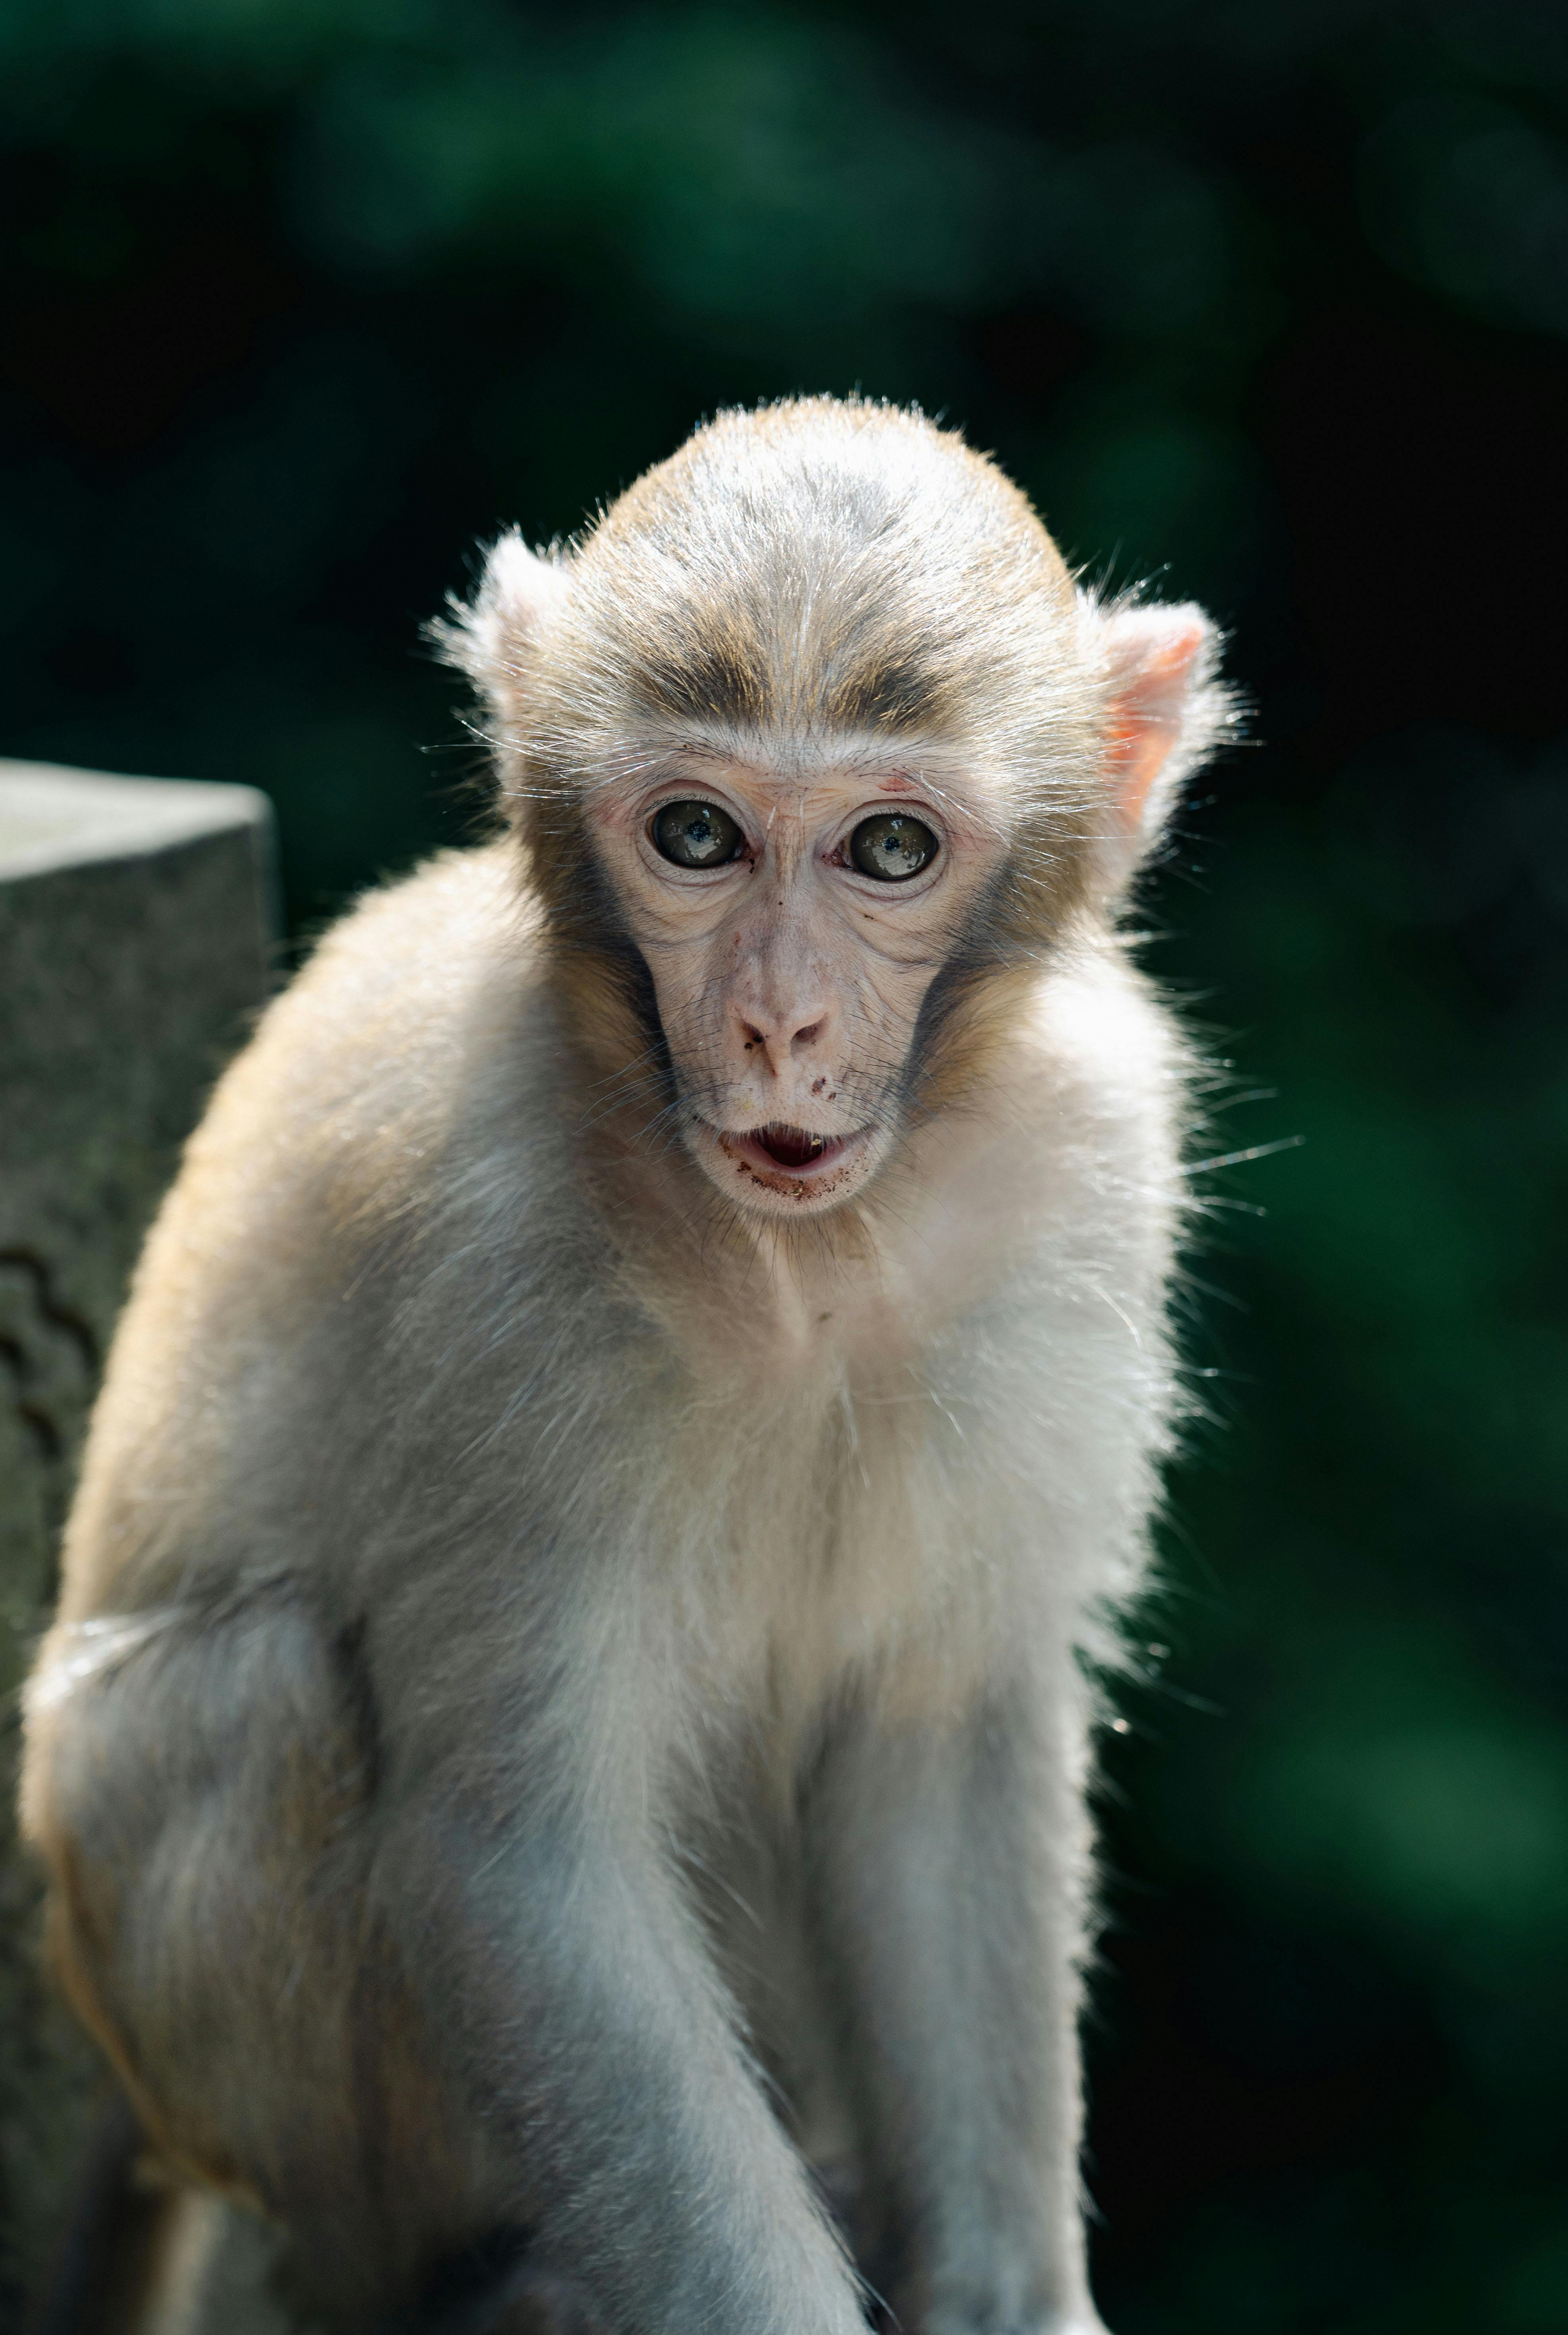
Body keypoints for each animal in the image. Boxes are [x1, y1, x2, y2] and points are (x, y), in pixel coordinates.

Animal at [20, 396, 1233, 2335]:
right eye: (695, 833)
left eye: (888, 853)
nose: (777, 1023)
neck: (805, 1257)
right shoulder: (486, 1247)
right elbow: (524, 1857)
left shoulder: (1083, 1164)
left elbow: (936, 1729)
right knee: (251, 1697)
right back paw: (477, 2280)